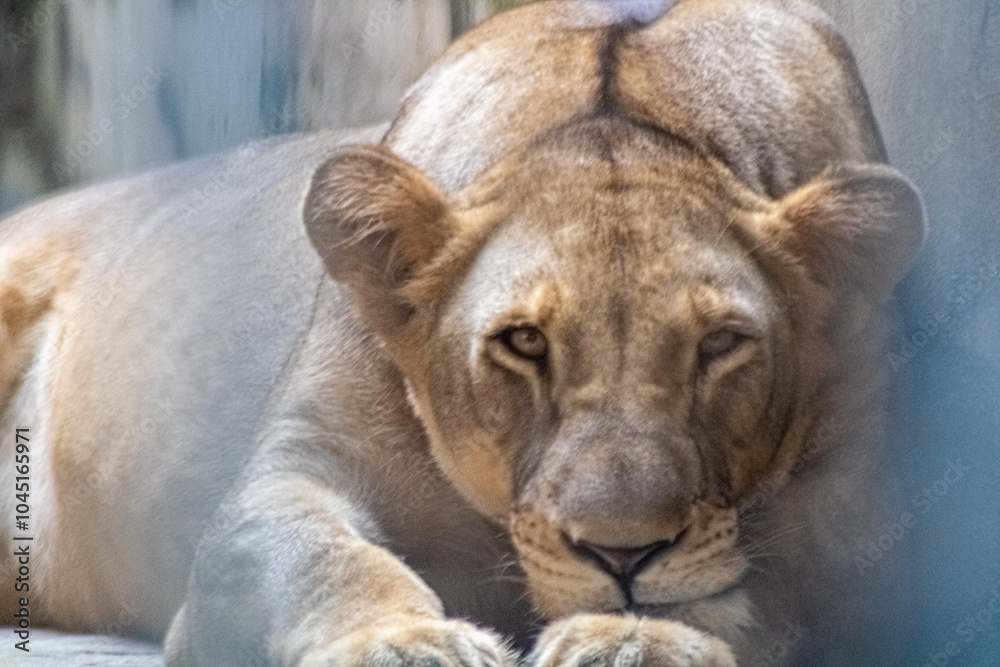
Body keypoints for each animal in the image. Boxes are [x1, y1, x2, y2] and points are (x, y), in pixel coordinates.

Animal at [0, 0, 924, 665]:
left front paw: (641, 636)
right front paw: (404, 642)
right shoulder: (293, 470)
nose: (624, 557)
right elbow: (313, 554)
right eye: (524, 342)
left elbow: (775, 592)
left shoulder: (865, 524)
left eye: (720, 343)